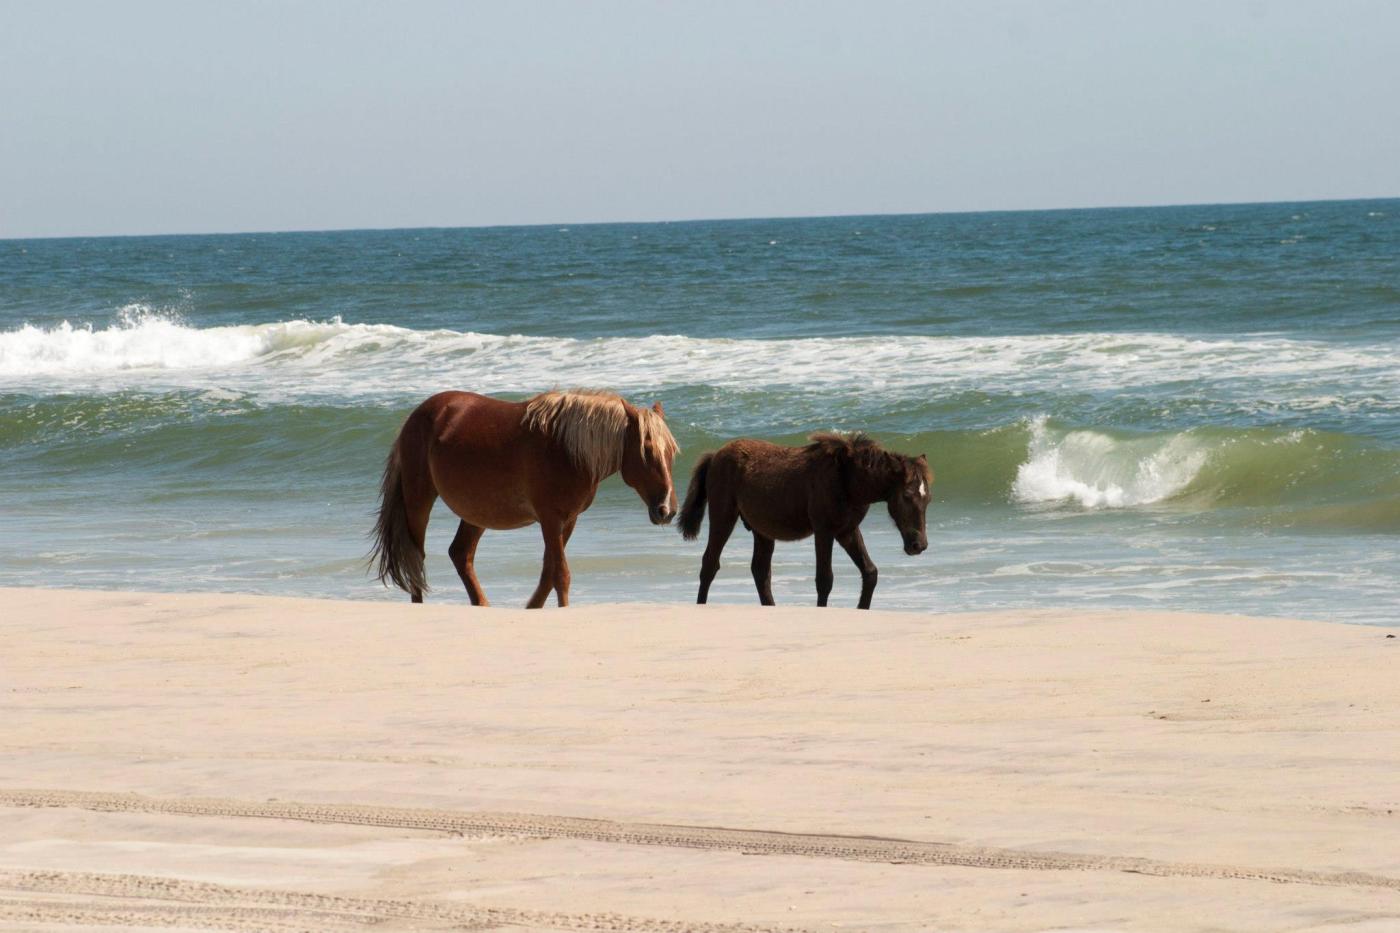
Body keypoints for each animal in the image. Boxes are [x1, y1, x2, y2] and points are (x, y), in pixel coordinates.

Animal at [371, 389, 679, 608]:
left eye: (671, 453)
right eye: (647, 451)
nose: (667, 510)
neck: (565, 449)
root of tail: (416, 416)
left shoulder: (567, 521)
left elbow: (548, 573)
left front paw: (533, 608)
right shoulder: (550, 519)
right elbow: (560, 574)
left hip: (478, 512)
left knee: (460, 554)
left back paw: (482, 604)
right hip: (418, 500)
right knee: (415, 557)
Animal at [677, 433, 931, 609]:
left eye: (927, 498)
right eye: (906, 496)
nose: (918, 545)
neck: (846, 478)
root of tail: (715, 455)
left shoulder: (847, 530)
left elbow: (870, 572)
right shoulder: (824, 530)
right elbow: (824, 579)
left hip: (762, 530)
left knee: (760, 571)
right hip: (723, 517)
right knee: (710, 563)